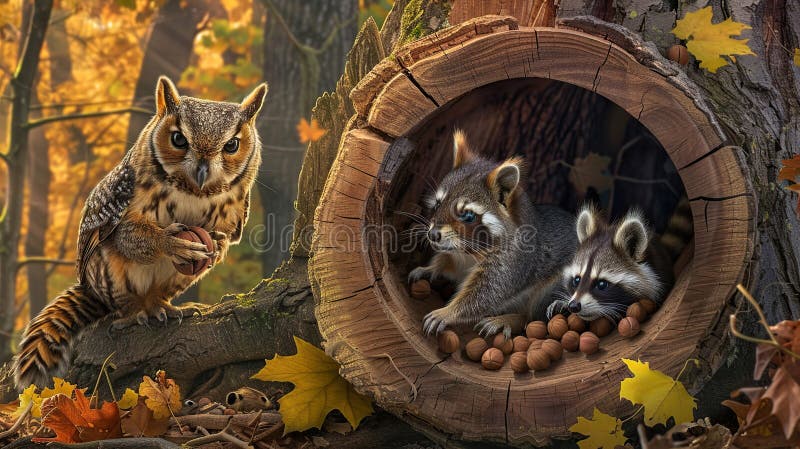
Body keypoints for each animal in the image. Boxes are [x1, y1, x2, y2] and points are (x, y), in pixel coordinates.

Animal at [13, 77, 267, 389]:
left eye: (231, 145)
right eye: (179, 139)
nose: (203, 170)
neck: (194, 190)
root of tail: (90, 288)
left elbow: (220, 240)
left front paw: (216, 245)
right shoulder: (116, 209)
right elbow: (133, 239)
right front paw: (170, 243)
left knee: (156, 295)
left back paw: (163, 307)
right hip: (106, 272)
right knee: (127, 299)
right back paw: (135, 314)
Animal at [410, 130, 577, 338]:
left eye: (467, 215)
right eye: (438, 204)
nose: (432, 235)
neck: (468, 252)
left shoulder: (512, 261)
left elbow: (485, 295)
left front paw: (448, 312)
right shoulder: (455, 255)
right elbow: (446, 261)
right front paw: (431, 267)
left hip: (557, 283)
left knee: (535, 314)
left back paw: (511, 319)